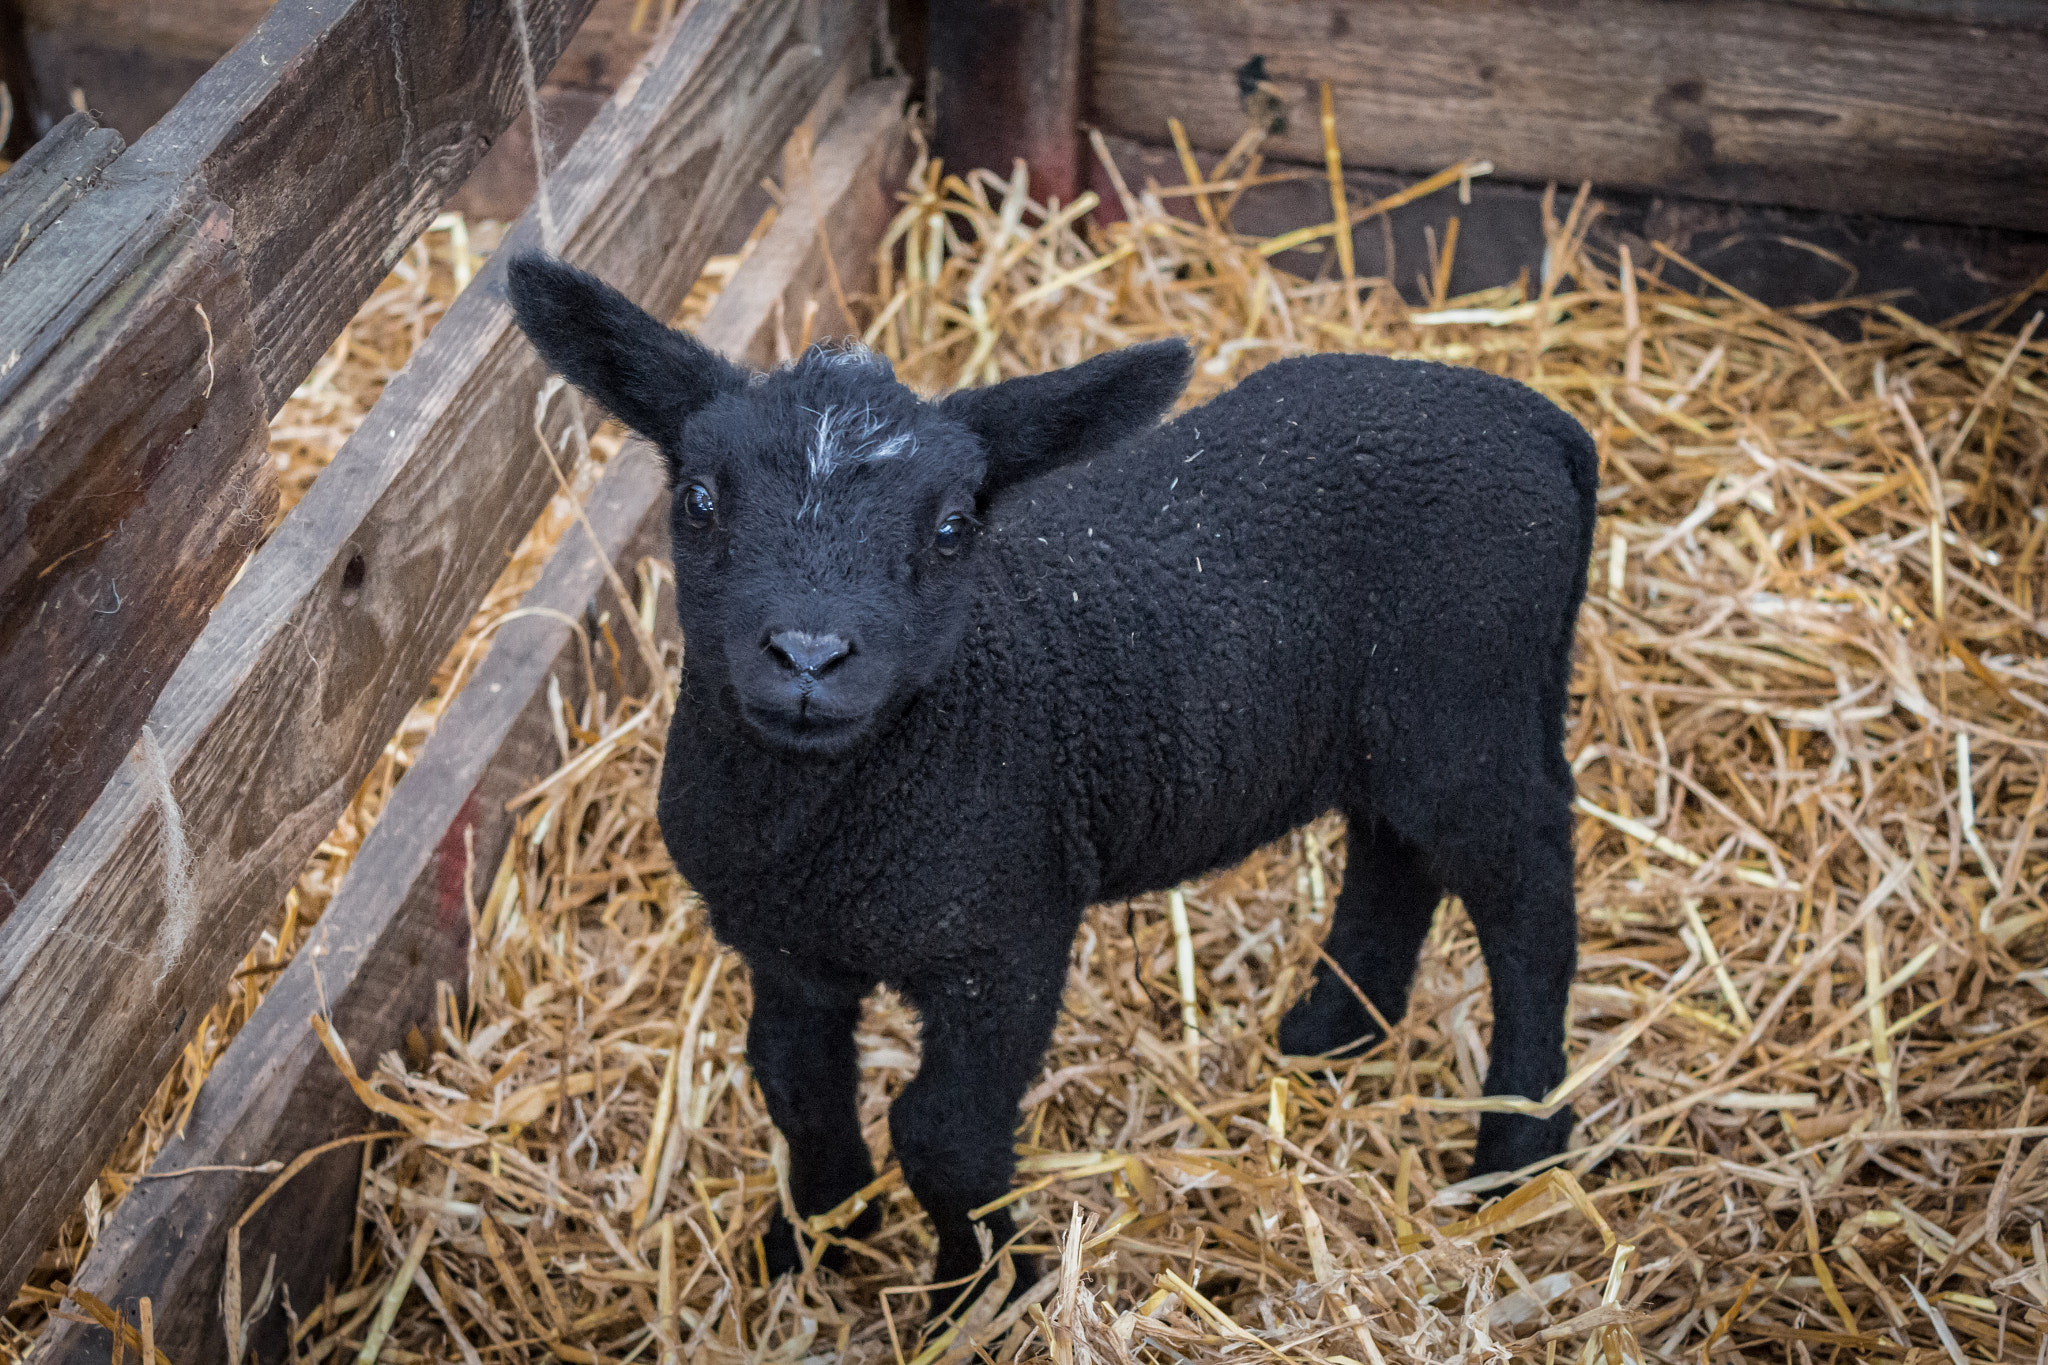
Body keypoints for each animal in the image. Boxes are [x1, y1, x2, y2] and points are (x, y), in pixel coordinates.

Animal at [507, 252, 1597, 1311]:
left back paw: (1516, 1149)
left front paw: (980, 1296)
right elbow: (795, 1085)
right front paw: (812, 1240)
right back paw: (1329, 1035)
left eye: (952, 528)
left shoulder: (1007, 936)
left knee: (1528, 894)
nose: (809, 656)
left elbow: (943, 1135)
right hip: (1393, 728)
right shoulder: (783, 946)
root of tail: (1538, 419)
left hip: (1466, 702)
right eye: (697, 500)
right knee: (1394, 855)